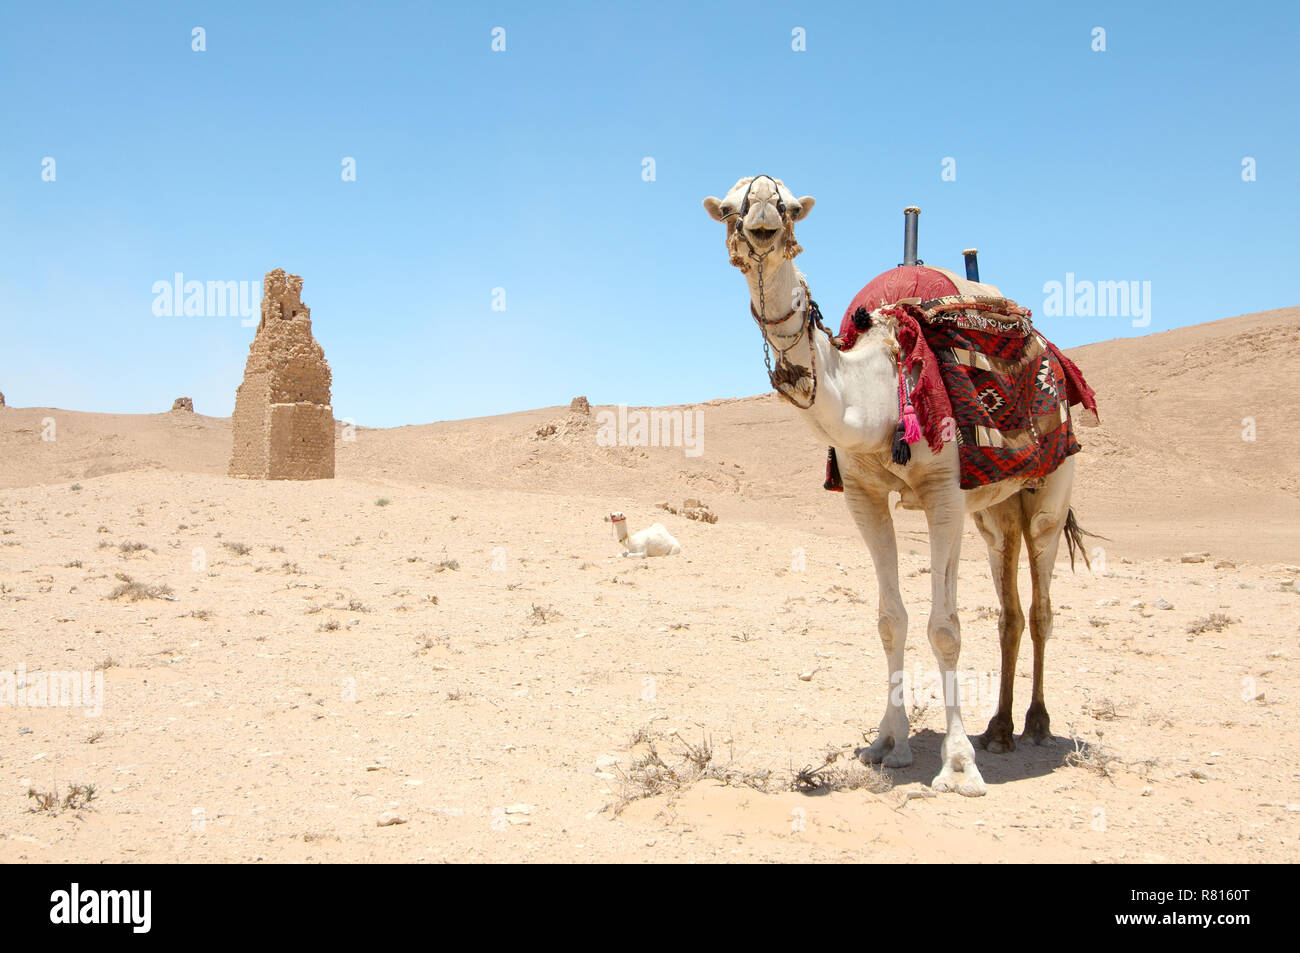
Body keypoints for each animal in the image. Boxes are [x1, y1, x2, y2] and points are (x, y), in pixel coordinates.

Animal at [703, 175, 1092, 797]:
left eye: (788, 205)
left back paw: (1034, 725)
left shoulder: (943, 493)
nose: (762, 221)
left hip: (1051, 491)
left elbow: (945, 627)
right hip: (994, 513)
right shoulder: (863, 496)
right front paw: (891, 744)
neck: (877, 393)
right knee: (1008, 607)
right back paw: (999, 729)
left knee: (1041, 605)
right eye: (730, 207)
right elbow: (891, 620)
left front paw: (957, 766)